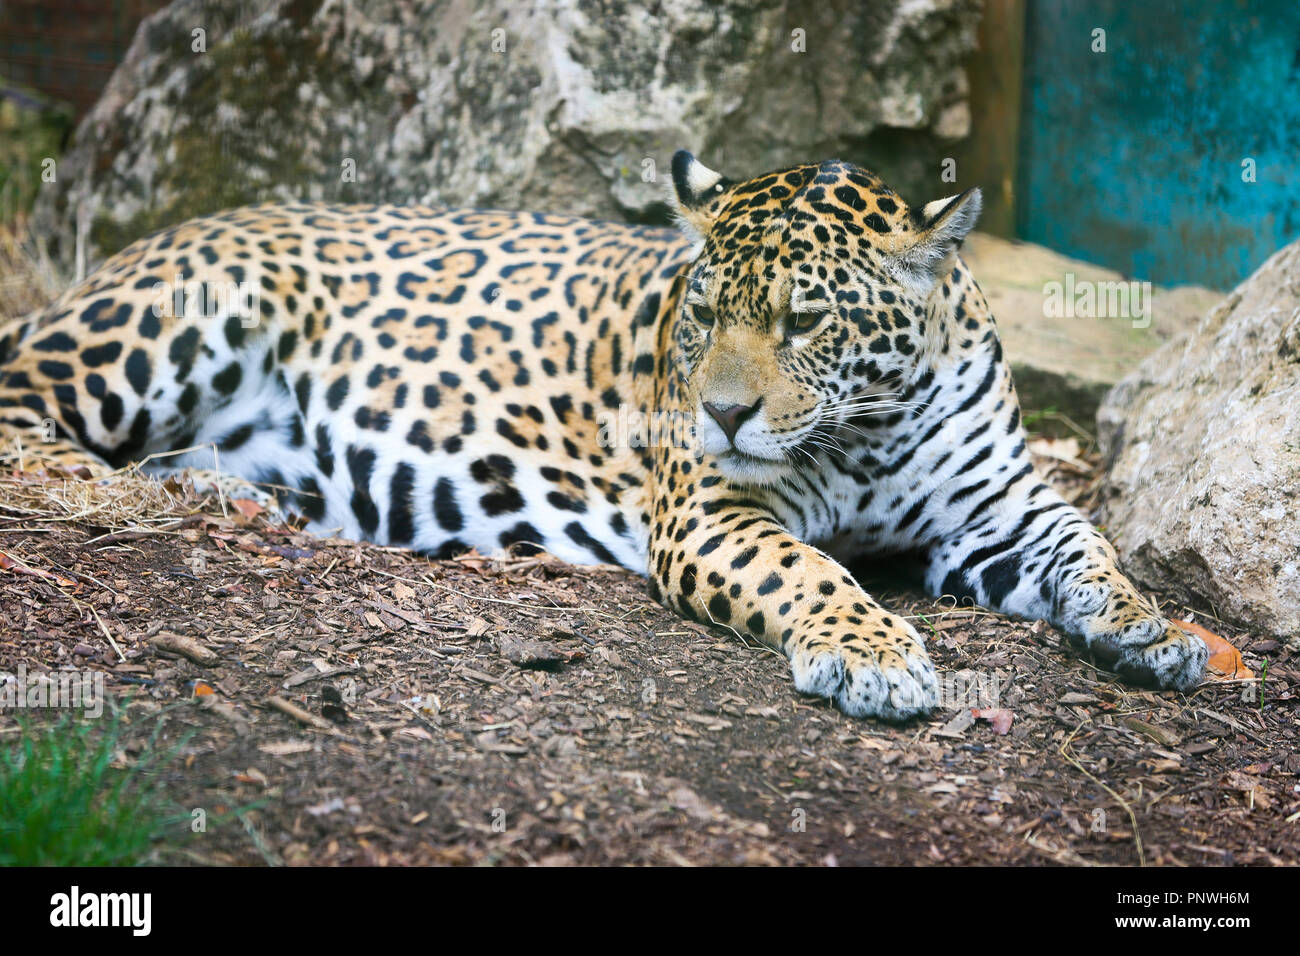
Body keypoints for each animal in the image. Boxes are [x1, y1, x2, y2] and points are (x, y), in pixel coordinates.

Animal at [0, 151, 1208, 719]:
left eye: (803, 321)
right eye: (704, 312)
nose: (723, 412)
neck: (869, 423)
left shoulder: (1001, 510)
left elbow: (1090, 546)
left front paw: (1154, 629)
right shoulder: (715, 514)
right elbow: (812, 569)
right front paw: (870, 654)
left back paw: (228, 494)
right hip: (183, 313)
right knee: (25, 410)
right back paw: (159, 498)